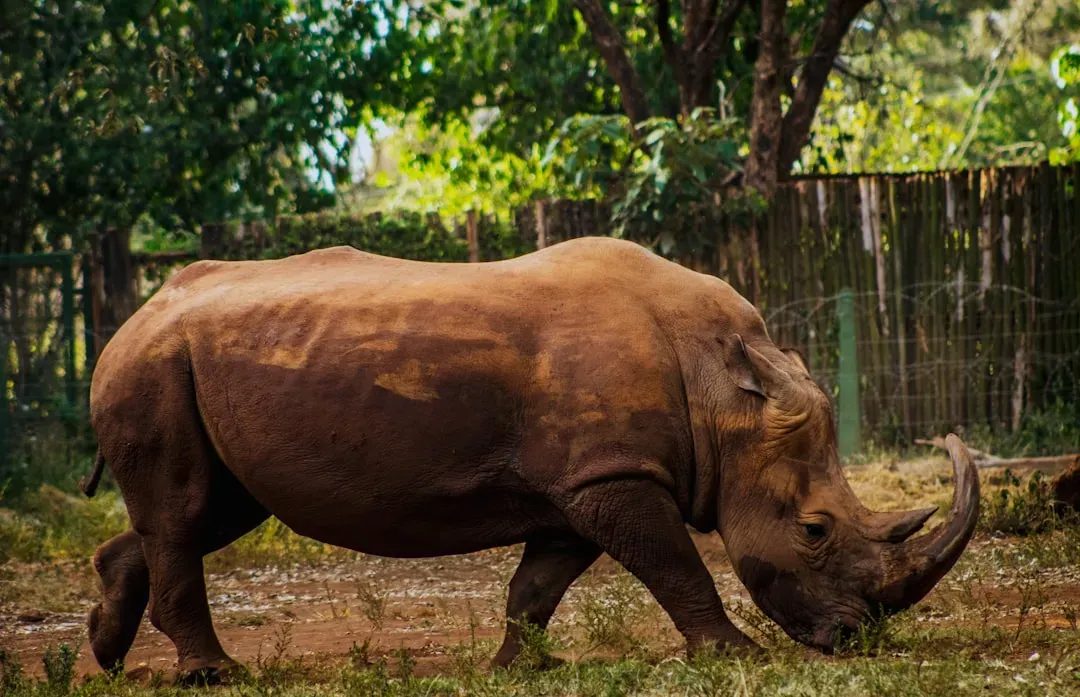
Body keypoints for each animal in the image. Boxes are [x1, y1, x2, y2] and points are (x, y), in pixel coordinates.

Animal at [81, 237, 979, 681]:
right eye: (816, 529)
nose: (853, 639)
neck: (724, 390)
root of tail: (133, 314)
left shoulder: (583, 483)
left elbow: (538, 584)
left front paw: (516, 666)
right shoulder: (614, 474)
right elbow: (678, 566)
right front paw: (736, 656)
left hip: (193, 366)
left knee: (213, 509)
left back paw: (104, 650)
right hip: (153, 367)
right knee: (184, 510)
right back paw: (212, 675)